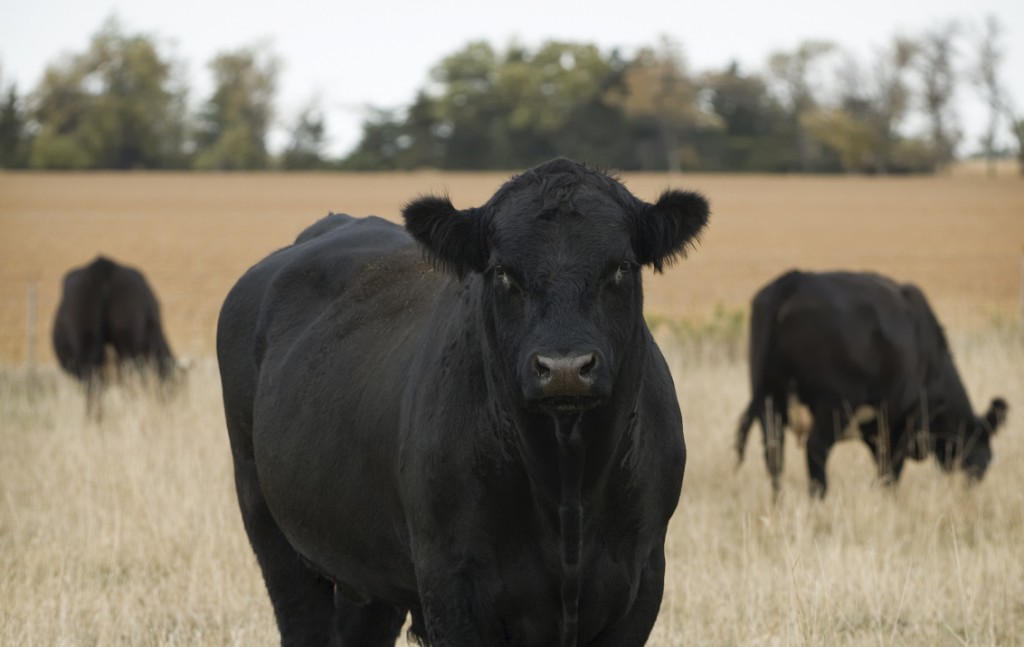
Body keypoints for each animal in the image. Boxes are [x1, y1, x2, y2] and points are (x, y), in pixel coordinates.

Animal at [216, 158, 710, 646]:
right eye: (503, 271)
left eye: (622, 266)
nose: (565, 367)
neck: (567, 487)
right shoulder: (452, 587)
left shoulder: (641, 580)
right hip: (268, 523)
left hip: (370, 570)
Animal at [735, 269, 1008, 498]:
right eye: (984, 458)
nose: (970, 490)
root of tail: (795, 278)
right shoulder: (900, 423)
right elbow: (891, 470)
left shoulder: (875, 428)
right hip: (832, 407)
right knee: (815, 451)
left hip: (768, 401)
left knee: (773, 455)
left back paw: (778, 502)